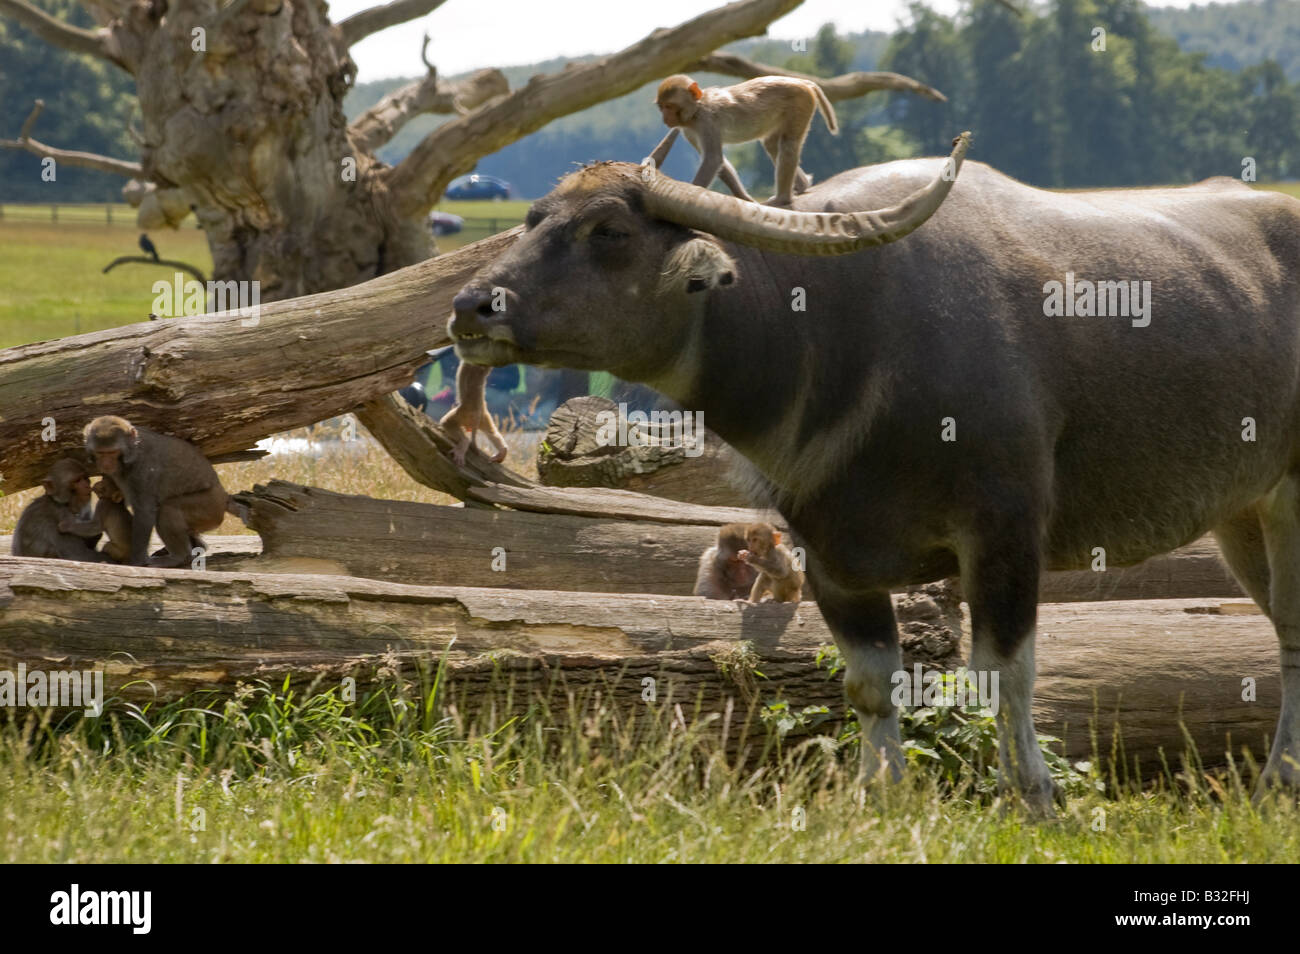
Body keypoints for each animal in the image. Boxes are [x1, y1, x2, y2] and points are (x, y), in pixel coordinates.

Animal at [83, 415, 241, 568]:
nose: (106, 464)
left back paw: (179, 557)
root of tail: (224, 497)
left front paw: (136, 561)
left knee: (168, 509)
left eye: (112, 452)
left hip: (209, 508)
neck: (131, 451)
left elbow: (145, 512)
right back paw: (197, 547)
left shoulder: (142, 470)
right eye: (100, 453)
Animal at [649, 74, 838, 207]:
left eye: (670, 106)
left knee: (788, 143)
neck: (697, 108)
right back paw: (802, 186)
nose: (665, 118)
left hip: (800, 103)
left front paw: (689, 194)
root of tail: (802, 82)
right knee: (772, 144)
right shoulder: (689, 130)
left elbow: (713, 159)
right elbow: (720, 163)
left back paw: (783, 198)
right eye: (662, 107)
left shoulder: (706, 121)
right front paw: (744, 198)